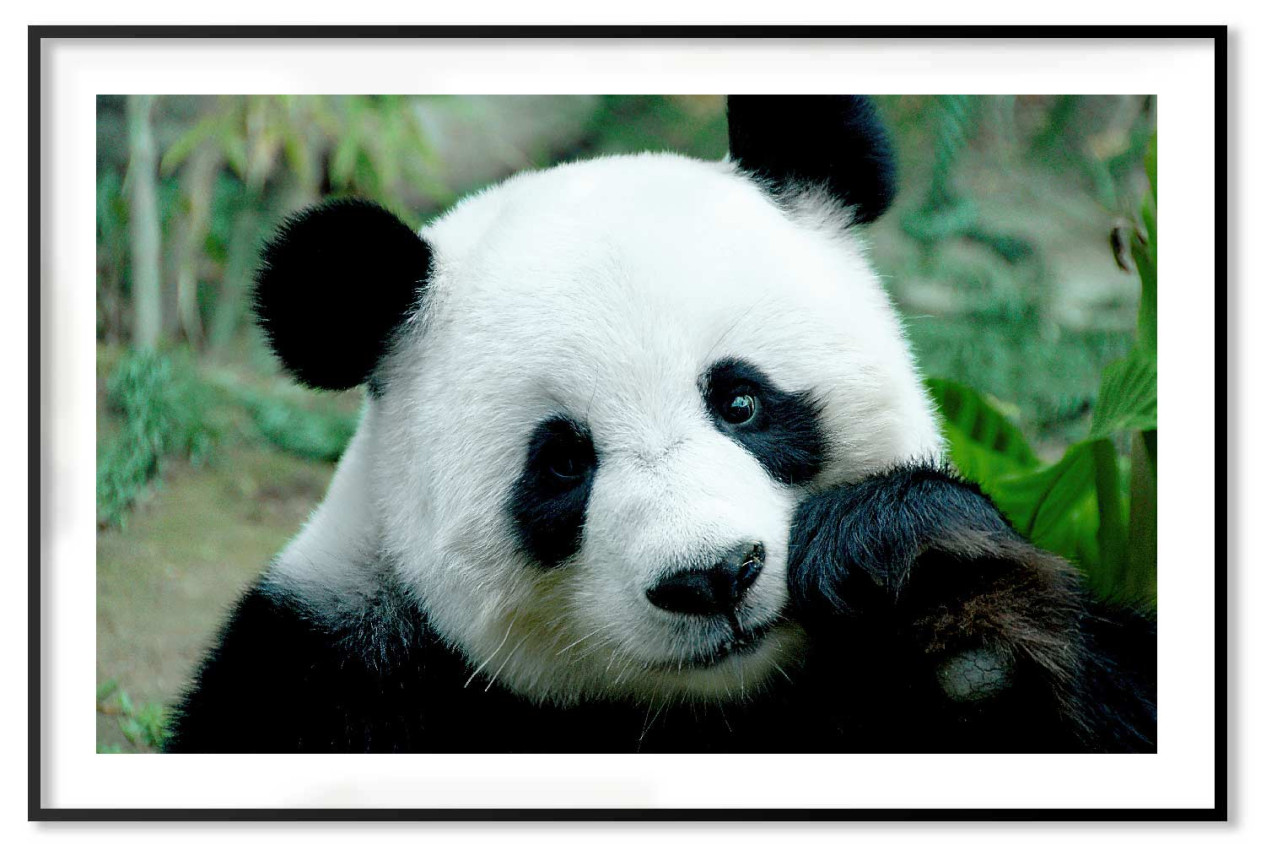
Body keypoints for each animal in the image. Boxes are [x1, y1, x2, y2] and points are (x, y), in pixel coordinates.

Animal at [165, 96, 1155, 754]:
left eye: (741, 401)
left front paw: (931, 589)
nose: (711, 579)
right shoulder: (335, 676)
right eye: (562, 463)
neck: (714, 704)